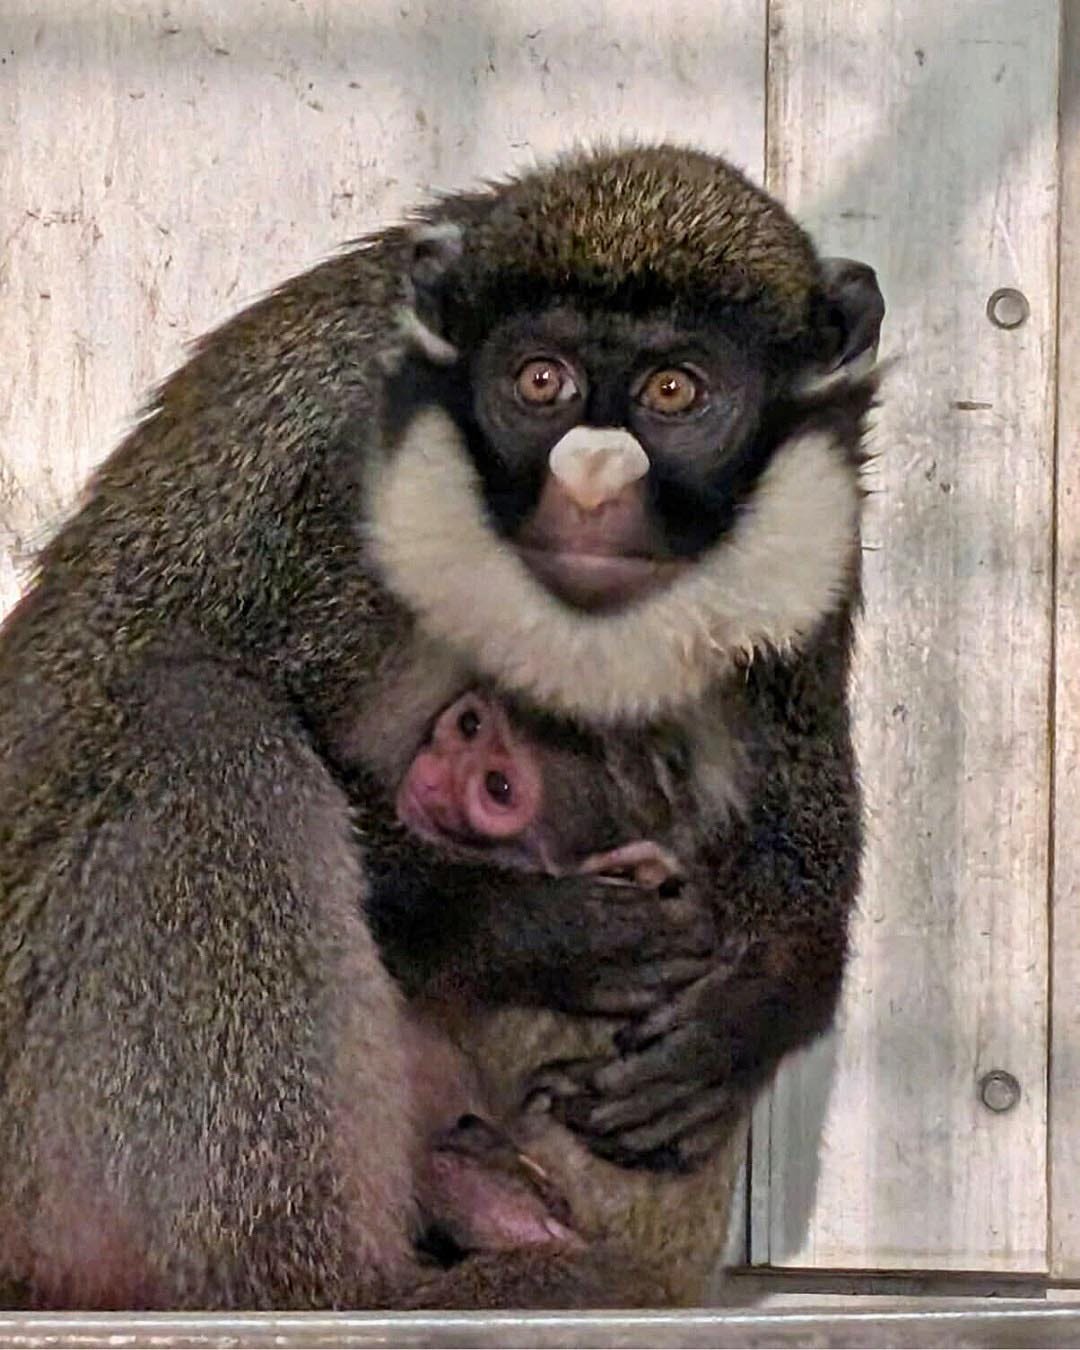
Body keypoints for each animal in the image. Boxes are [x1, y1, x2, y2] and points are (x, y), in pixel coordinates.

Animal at [0, 143, 883, 1309]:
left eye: (675, 392)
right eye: (540, 382)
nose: (589, 481)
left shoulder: (826, 498)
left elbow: (795, 795)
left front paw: (755, 1007)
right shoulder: (336, 476)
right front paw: (537, 930)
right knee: (196, 720)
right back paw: (320, 1283)